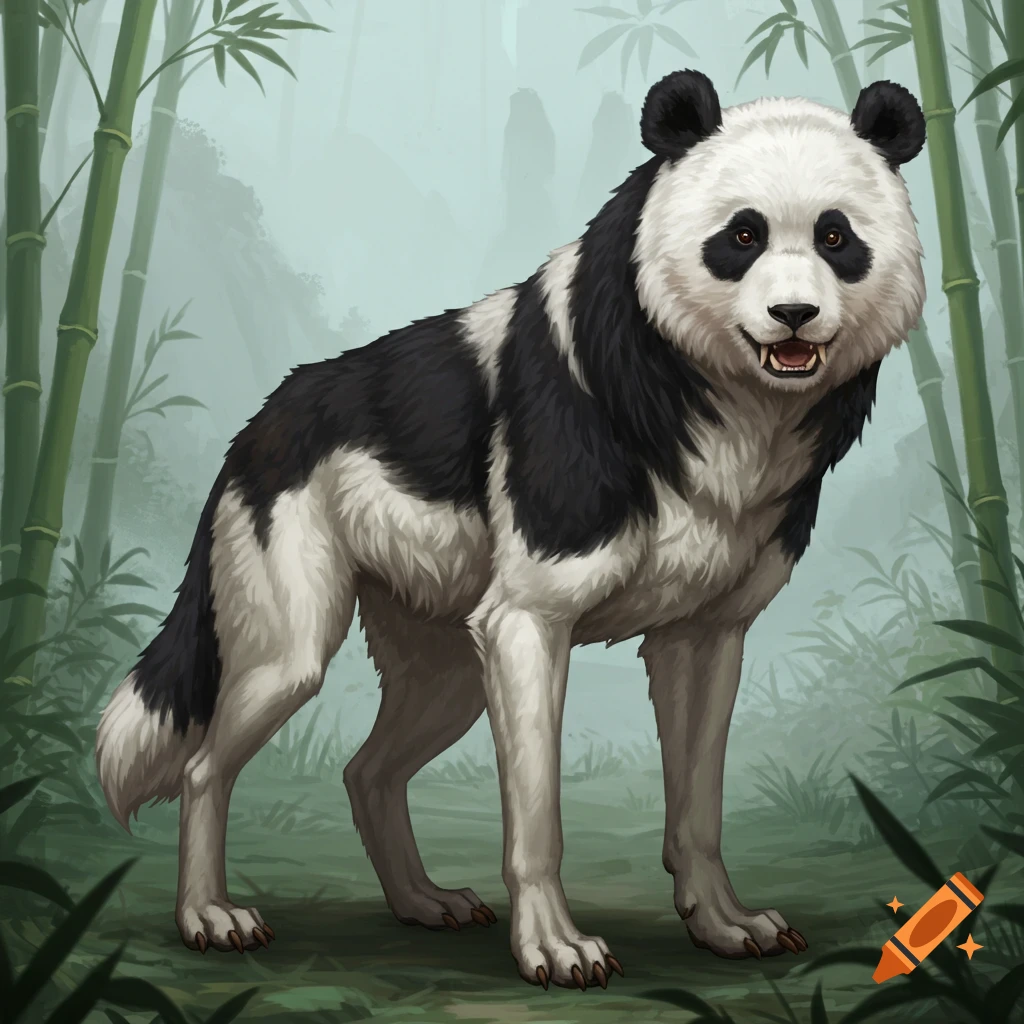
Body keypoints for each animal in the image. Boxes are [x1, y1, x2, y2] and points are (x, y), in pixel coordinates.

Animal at [96, 70, 926, 989]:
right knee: (208, 762)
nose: (794, 314)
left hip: (447, 666)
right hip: (293, 647)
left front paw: (721, 922)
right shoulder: (529, 623)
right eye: (741, 236)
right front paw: (556, 947)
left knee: (367, 770)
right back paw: (209, 915)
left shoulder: (706, 637)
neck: (697, 391)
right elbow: (537, 814)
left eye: (835, 237)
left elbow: (698, 803)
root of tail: (259, 424)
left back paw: (422, 903)